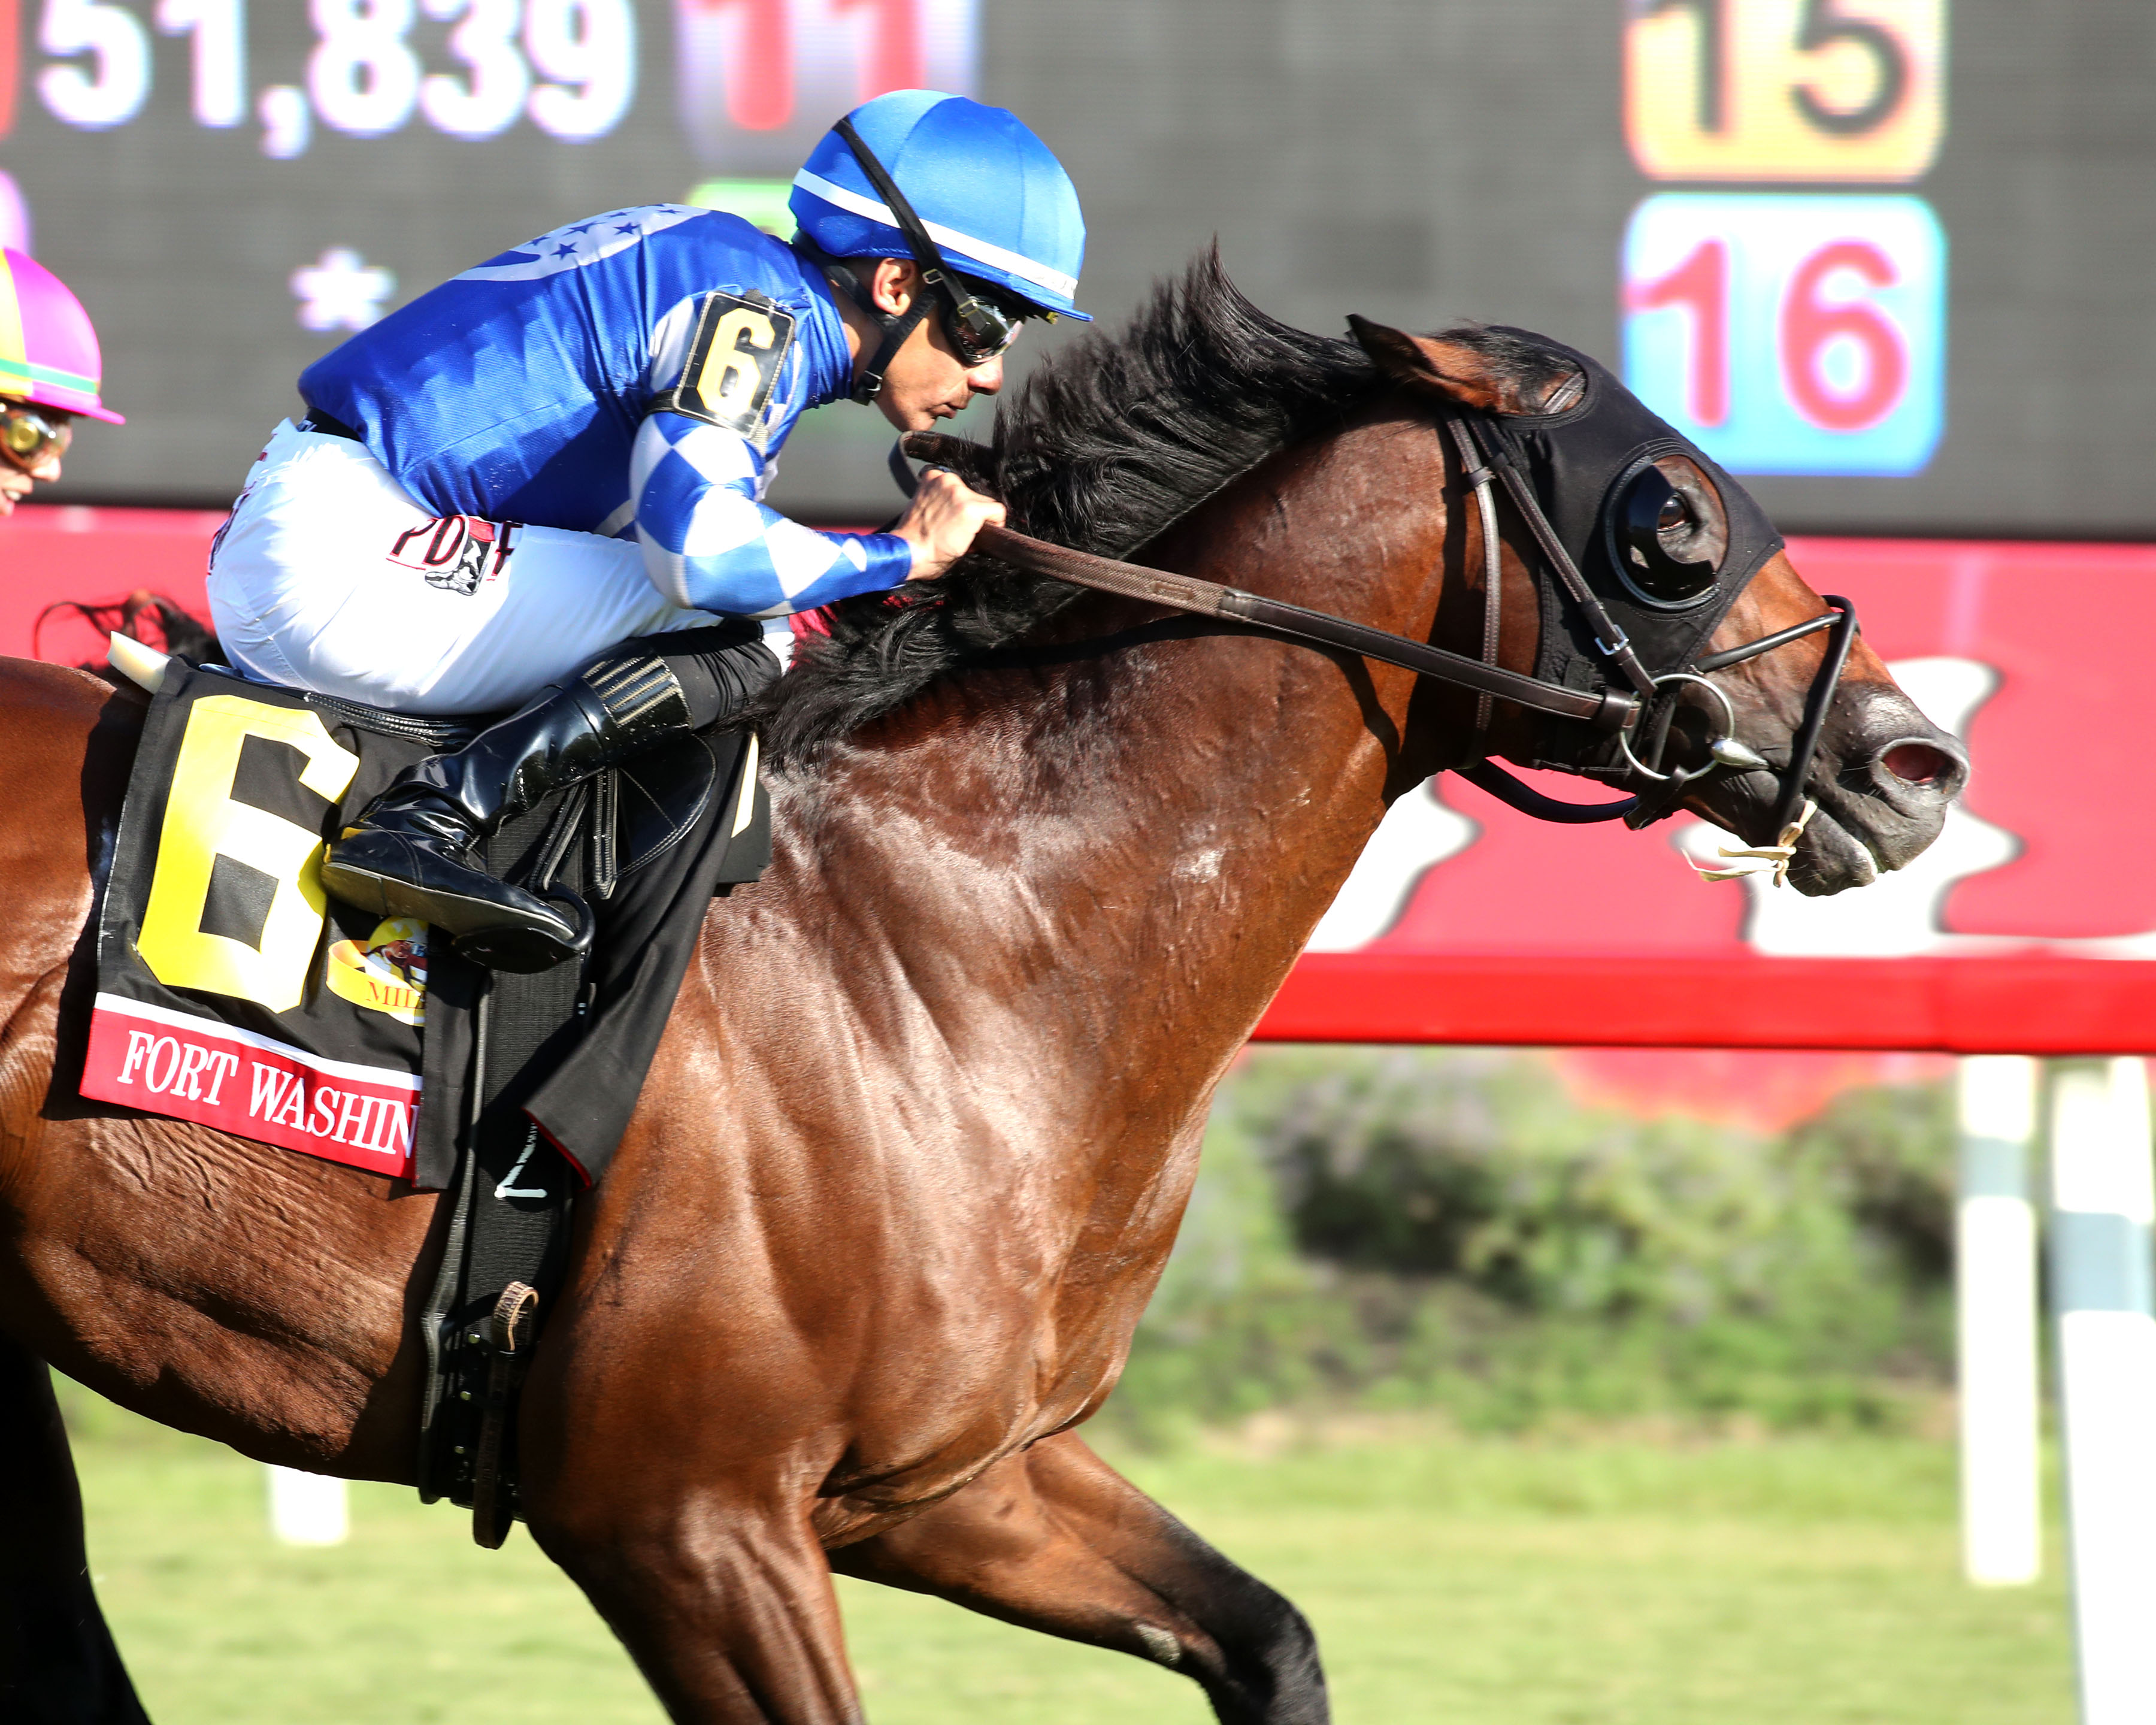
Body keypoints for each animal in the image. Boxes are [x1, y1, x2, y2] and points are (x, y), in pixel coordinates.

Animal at [0, 254, 1966, 1724]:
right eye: (1672, 520)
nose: (1916, 762)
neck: (958, 949)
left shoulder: (950, 1480)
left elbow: (1269, 1639)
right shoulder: (677, 1514)